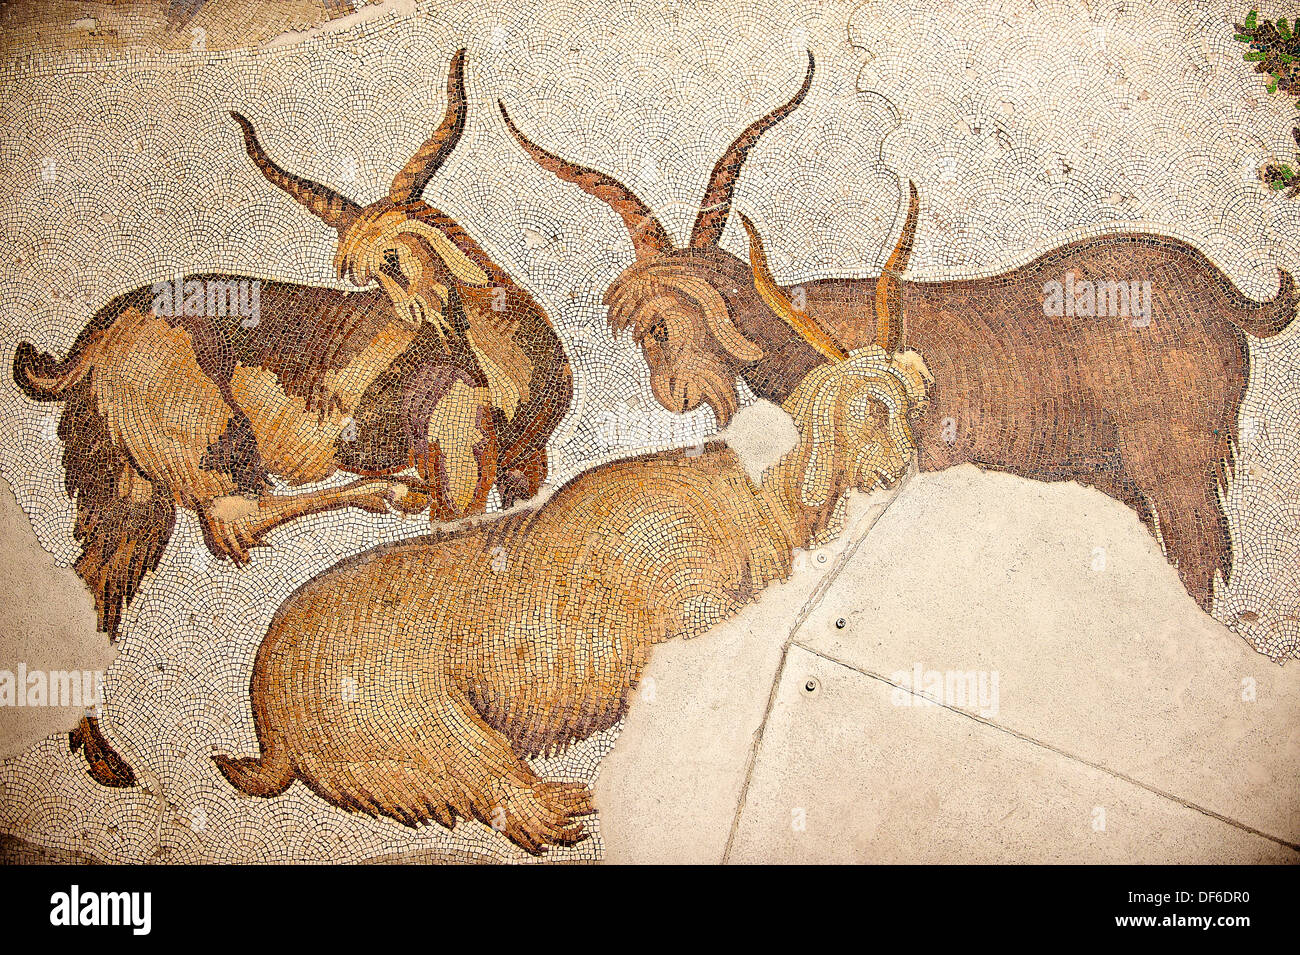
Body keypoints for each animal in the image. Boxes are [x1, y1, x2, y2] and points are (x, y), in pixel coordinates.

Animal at [12, 50, 573, 646]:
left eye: (392, 255)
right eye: (366, 271)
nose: (436, 328)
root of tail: (109, 328)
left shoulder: (526, 467)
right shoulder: (460, 465)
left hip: (131, 498)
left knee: (99, 575)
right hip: (213, 447)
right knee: (234, 519)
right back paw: (391, 492)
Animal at [213, 209, 928, 856]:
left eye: (911, 399)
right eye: (870, 406)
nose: (904, 470)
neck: (750, 488)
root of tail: (268, 718)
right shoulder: (692, 617)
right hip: (432, 727)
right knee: (510, 796)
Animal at [499, 50, 1298, 614]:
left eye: (667, 320)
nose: (681, 394)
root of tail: (1225, 294)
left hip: (1178, 464)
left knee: (1200, 560)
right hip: (1121, 474)